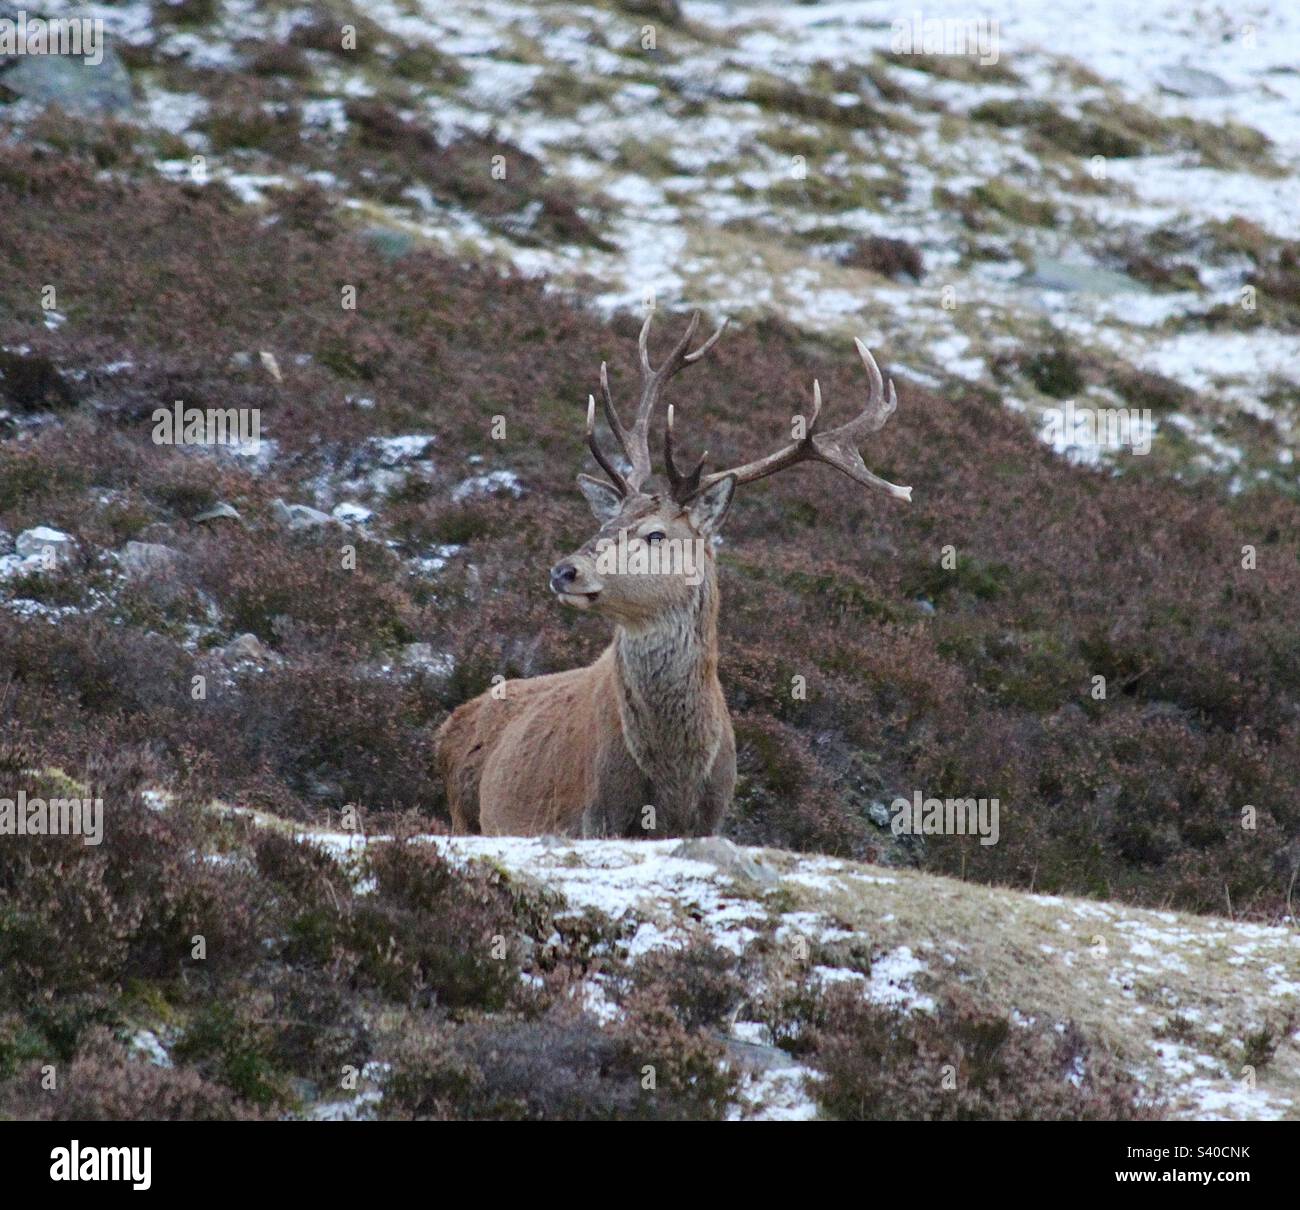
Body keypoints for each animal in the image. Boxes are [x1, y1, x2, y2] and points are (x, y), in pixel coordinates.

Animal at [435, 312, 911, 838]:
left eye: (656, 535)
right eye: (605, 523)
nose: (564, 571)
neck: (674, 778)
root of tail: (448, 723)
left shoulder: (711, 818)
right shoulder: (590, 819)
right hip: (463, 813)